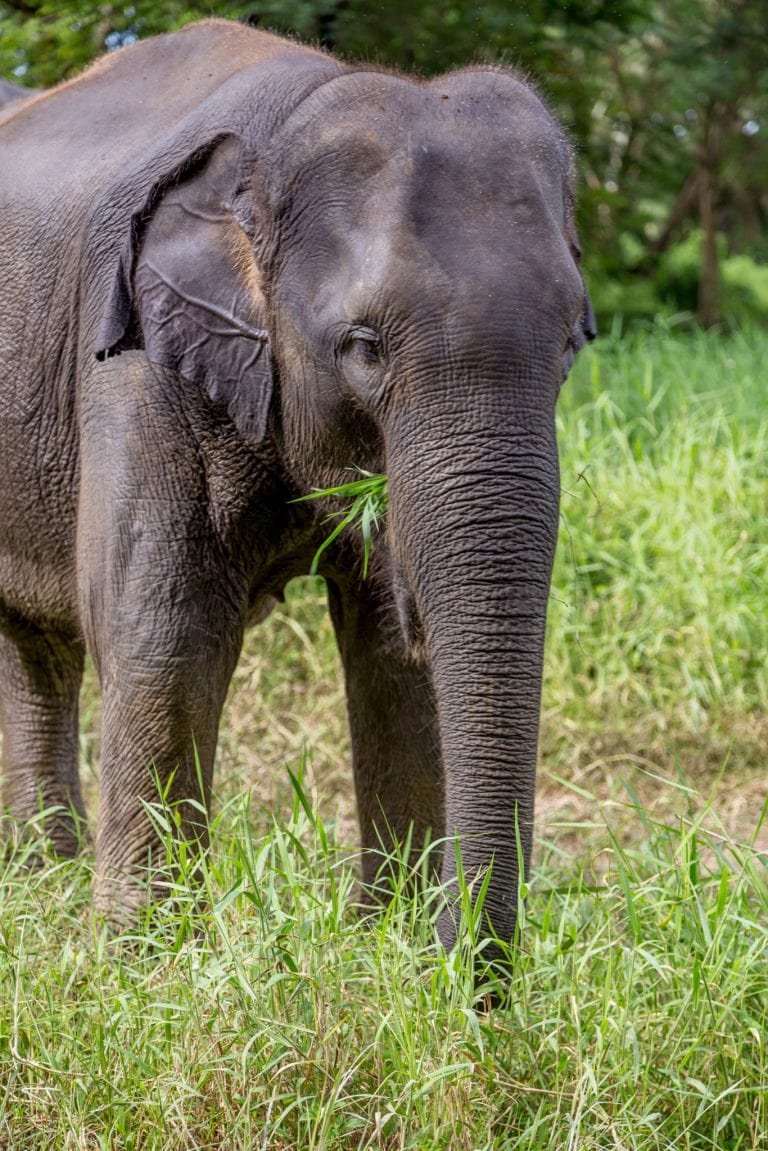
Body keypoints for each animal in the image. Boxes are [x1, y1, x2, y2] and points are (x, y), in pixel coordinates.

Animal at [0, 19, 595, 953]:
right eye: (363, 345)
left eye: (573, 338)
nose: (467, 968)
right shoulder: (133, 357)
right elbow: (159, 625)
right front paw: (144, 952)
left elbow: (387, 646)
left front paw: (388, 936)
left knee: (37, 647)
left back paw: (43, 877)